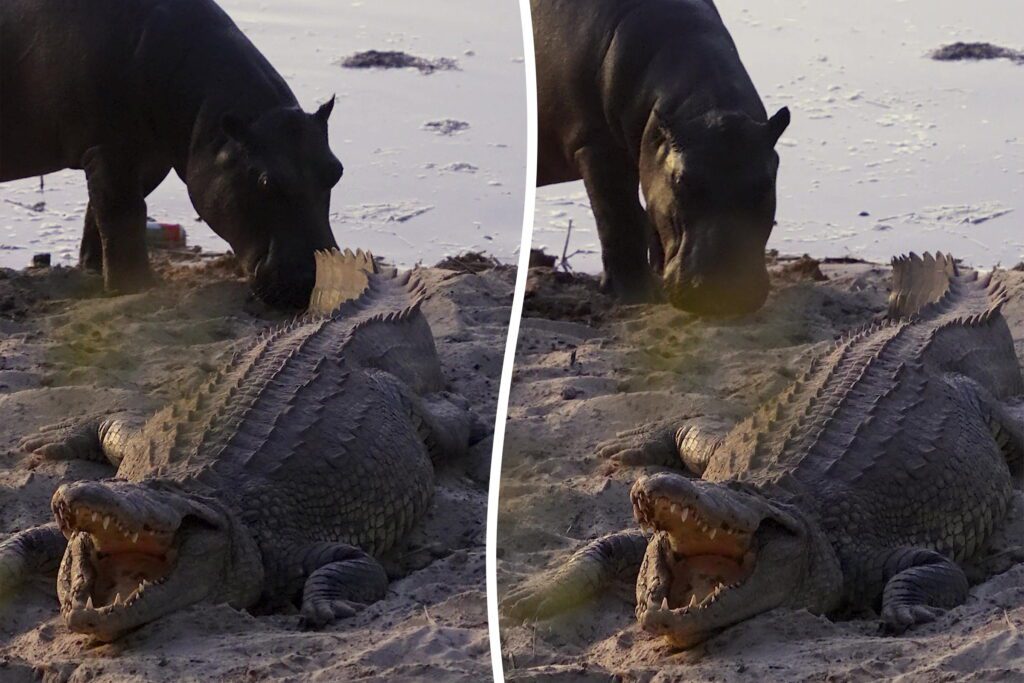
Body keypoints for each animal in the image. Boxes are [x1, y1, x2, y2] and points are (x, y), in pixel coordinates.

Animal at [0, 0, 343, 309]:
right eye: (265, 182)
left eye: (337, 171)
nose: (315, 279)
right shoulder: (110, 149)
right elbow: (122, 214)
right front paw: (135, 286)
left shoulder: (151, 160)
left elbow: (99, 214)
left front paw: (93, 270)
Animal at [533, 0, 790, 314]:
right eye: (682, 181)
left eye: (765, 184)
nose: (722, 293)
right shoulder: (595, 145)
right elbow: (619, 219)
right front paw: (638, 294)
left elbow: (648, 215)